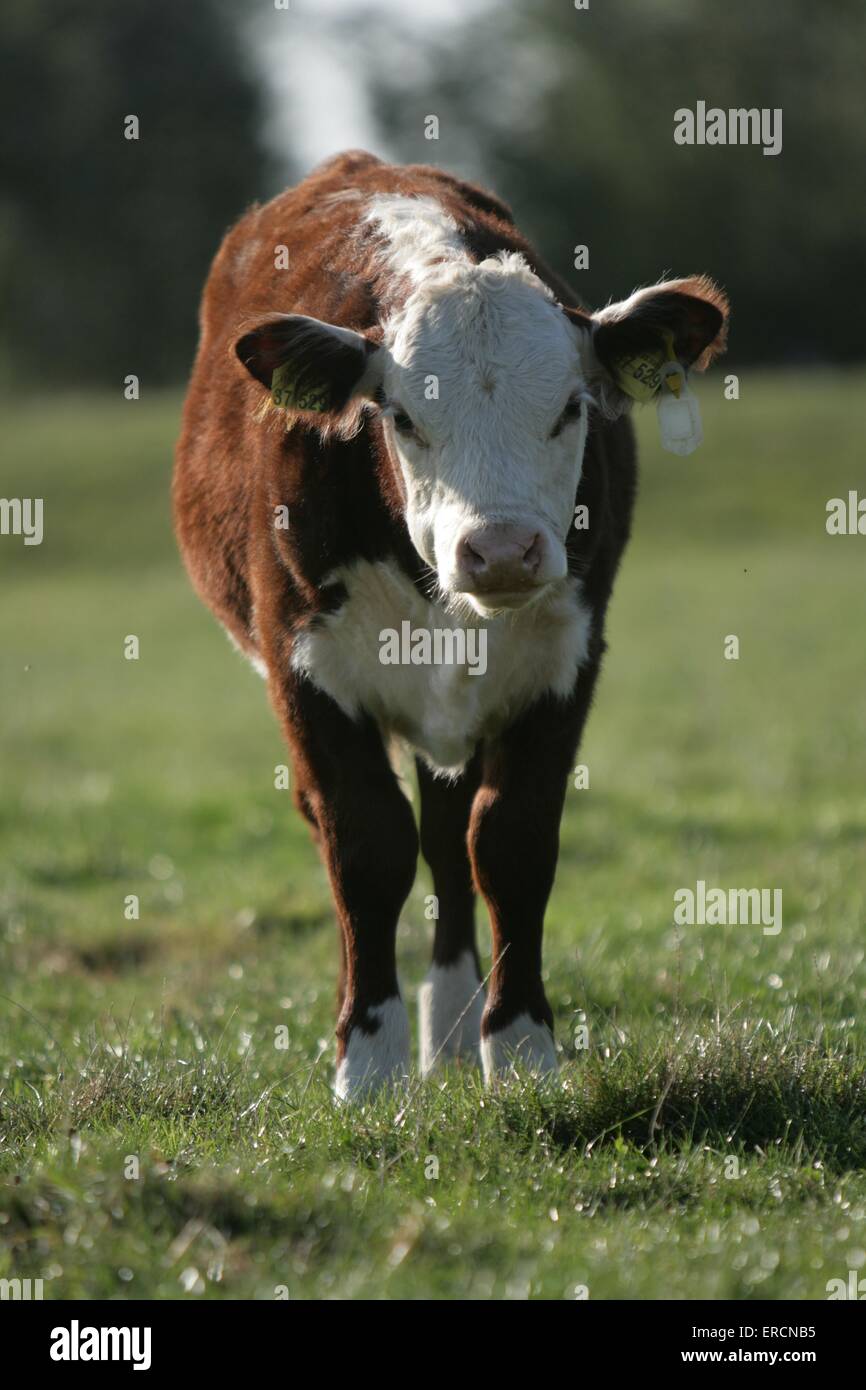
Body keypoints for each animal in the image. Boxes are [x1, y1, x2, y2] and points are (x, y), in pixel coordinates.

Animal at [174, 151, 728, 1101]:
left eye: (571, 408)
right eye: (401, 417)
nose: (500, 550)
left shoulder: (564, 661)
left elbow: (507, 843)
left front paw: (519, 1046)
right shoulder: (304, 666)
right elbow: (364, 844)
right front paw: (369, 1060)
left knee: (447, 834)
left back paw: (454, 1031)